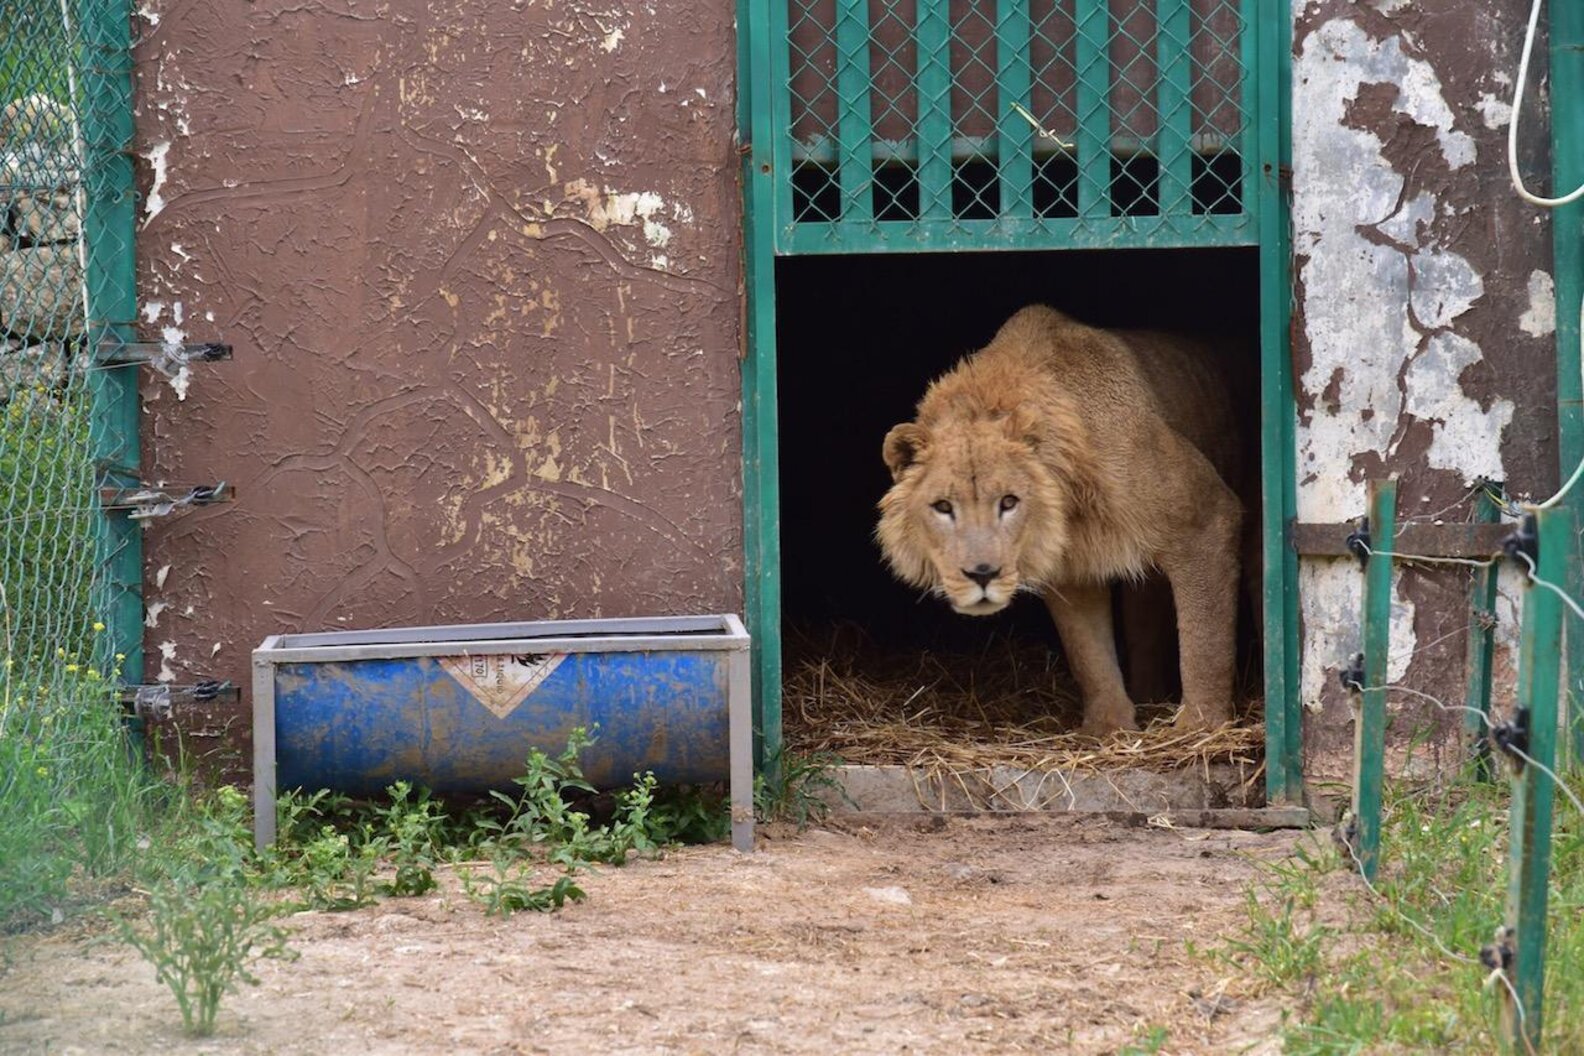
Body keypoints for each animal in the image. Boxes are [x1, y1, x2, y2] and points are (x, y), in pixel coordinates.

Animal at [876, 305, 1249, 736]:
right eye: (942, 507)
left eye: (1009, 502)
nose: (982, 574)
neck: (1070, 508)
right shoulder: (1072, 568)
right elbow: (1089, 654)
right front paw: (1108, 729)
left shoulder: (1206, 520)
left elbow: (1204, 640)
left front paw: (1200, 728)